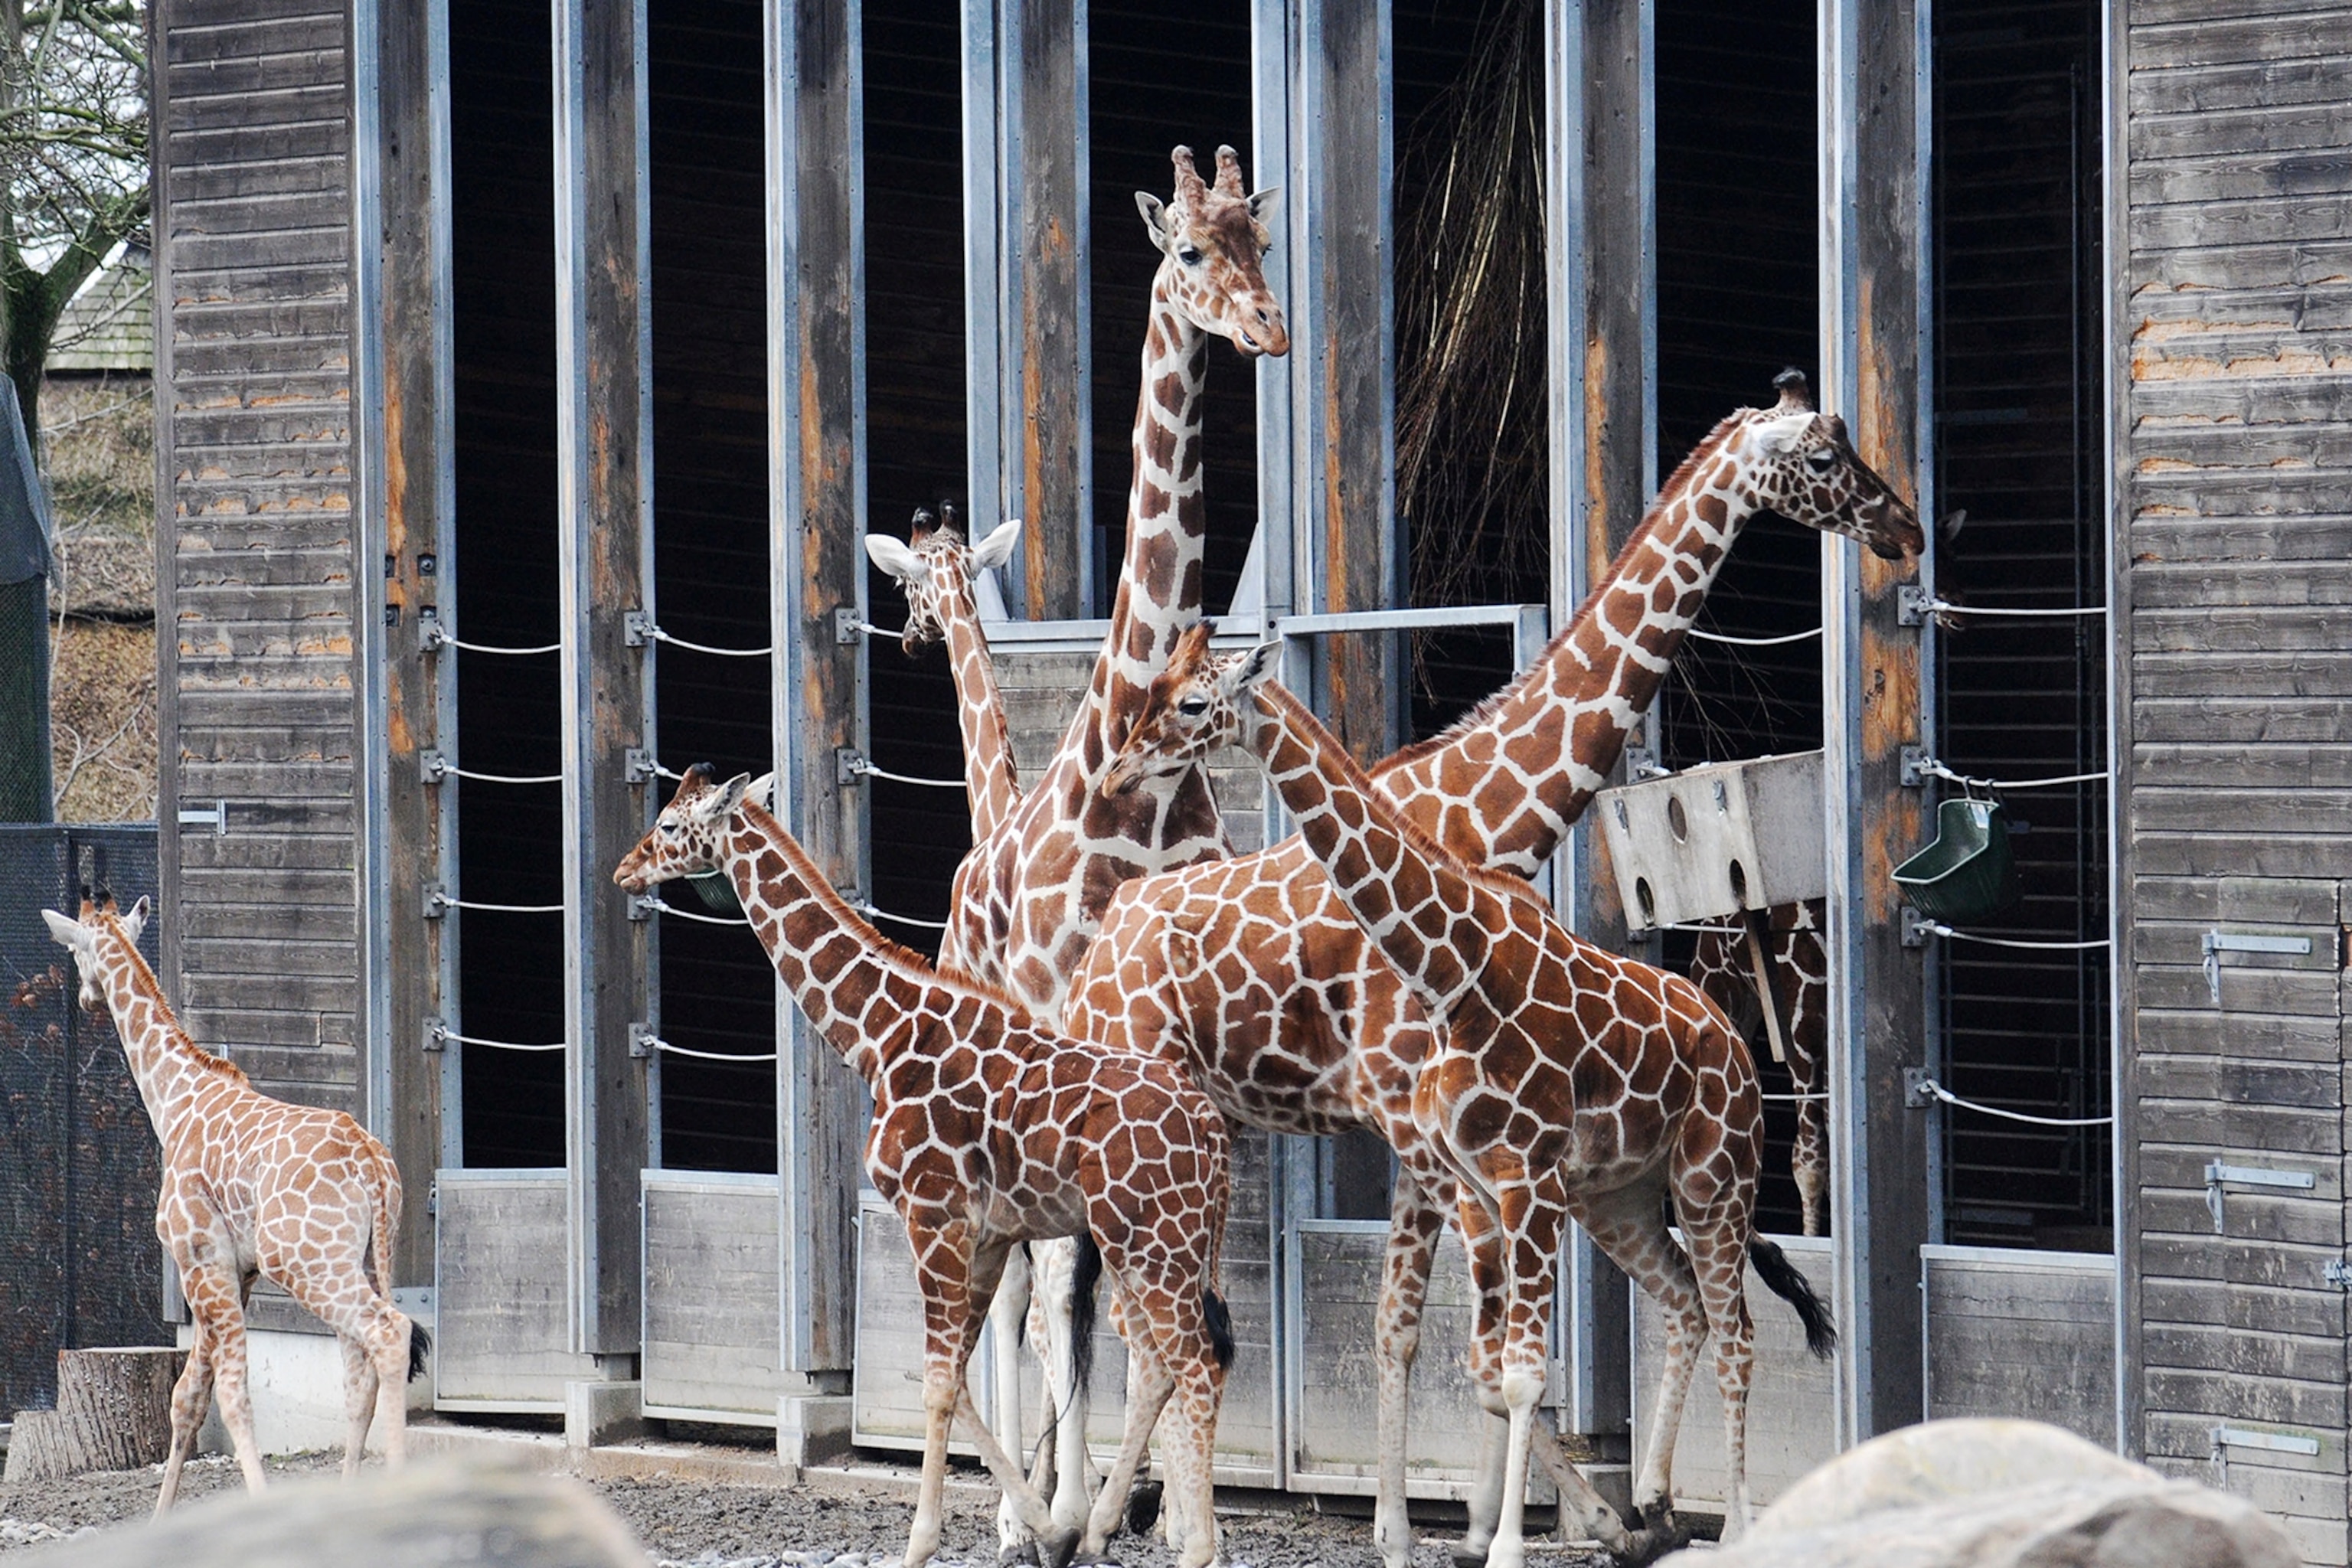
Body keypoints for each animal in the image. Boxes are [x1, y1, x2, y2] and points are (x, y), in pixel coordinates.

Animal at [41, 897, 427, 1516]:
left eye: (75, 952)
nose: (85, 997)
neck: (173, 1100)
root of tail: (371, 1164)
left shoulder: (199, 1258)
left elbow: (229, 1395)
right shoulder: (233, 1271)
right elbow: (188, 1397)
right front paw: (160, 1519)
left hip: (306, 1261)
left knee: (390, 1333)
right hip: (364, 1257)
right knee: (359, 1372)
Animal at [613, 767, 1235, 1568]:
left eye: (667, 825)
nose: (625, 869)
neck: (878, 1037)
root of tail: (1213, 1135)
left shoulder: (930, 1213)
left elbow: (938, 1384)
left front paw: (922, 1542)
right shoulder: (987, 1232)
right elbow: (959, 1380)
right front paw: (1045, 1528)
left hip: (1154, 1240)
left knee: (1195, 1363)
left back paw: (1192, 1547)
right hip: (1153, 1241)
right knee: (1165, 1363)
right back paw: (1105, 1527)